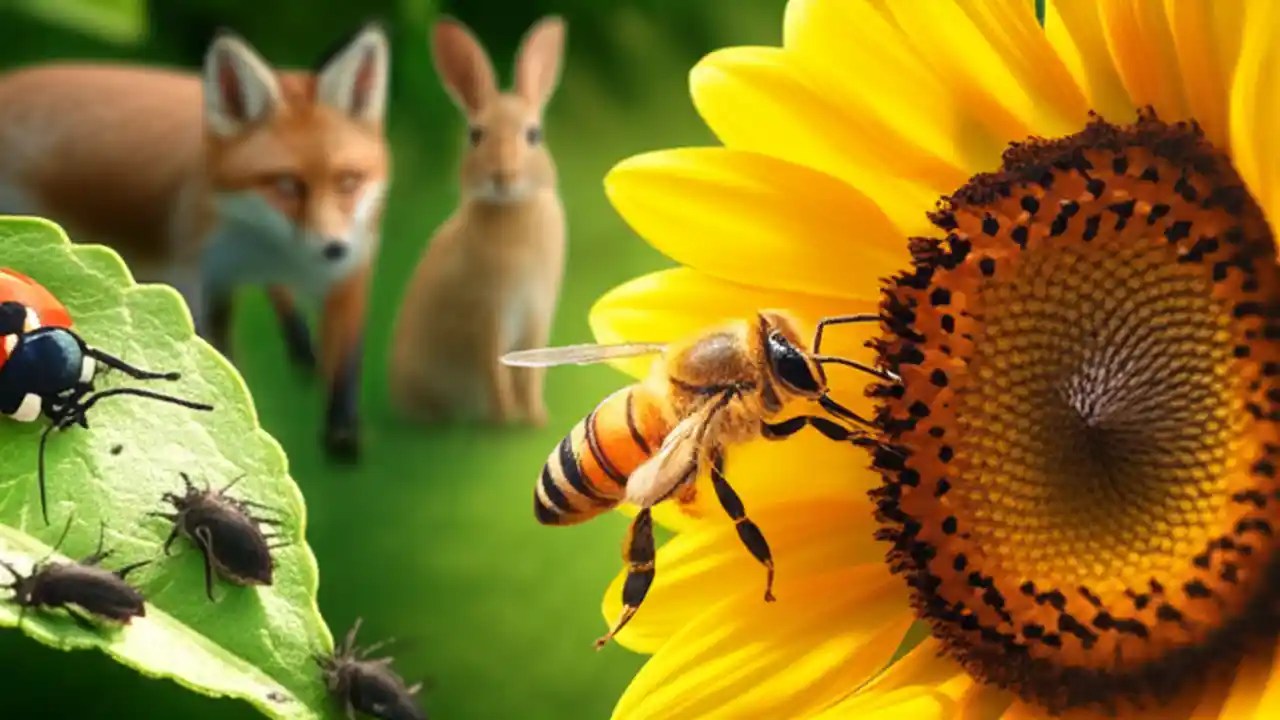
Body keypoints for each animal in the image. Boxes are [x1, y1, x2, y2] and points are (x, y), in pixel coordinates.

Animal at [0, 24, 391, 460]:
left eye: (349, 181)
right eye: (287, 184)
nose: (333, 248)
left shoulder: (353, 268)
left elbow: (346, 362)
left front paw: (343, 435)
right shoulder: (199, 279)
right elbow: (224, 355)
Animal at [389, 15, 567, 426]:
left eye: (534, 134)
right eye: (475, 135)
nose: (503, 175)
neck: (513, 209)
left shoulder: (536, 318)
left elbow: (530, 375)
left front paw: (536, 419)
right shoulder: (487, 318)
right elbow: (494, 371)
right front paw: (505, 422)